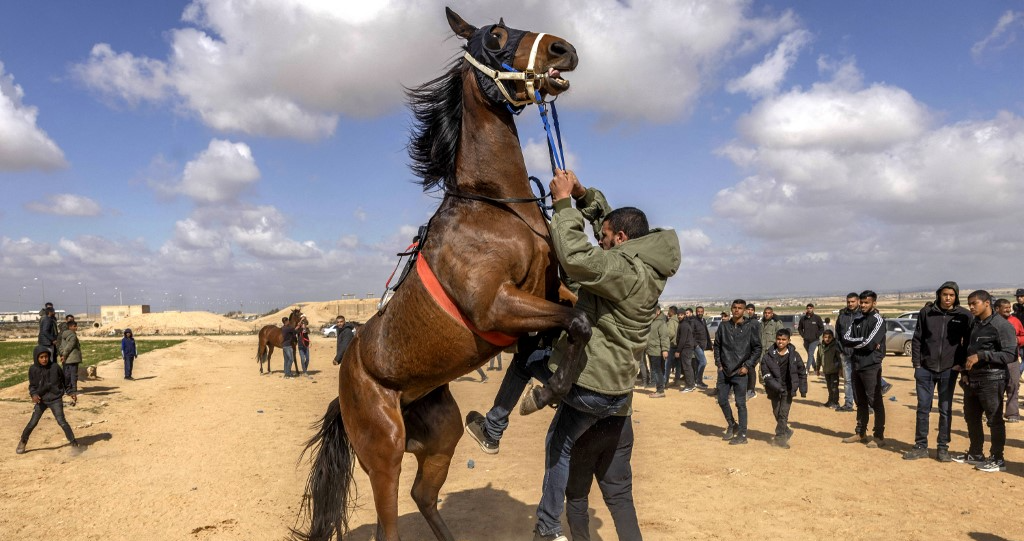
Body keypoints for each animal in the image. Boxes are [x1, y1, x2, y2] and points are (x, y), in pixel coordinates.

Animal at [293, 9, 588, 541]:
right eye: (496, 36)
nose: (563, 49)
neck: (495, 207)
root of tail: (345, 389)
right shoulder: (496, 305)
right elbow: (578, 324)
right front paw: (548, 392)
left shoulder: (546, 296)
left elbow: (579, 320)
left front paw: (549, 385)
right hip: (384, 449)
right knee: (391, 518)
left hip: (440, 434)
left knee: (423, 496)